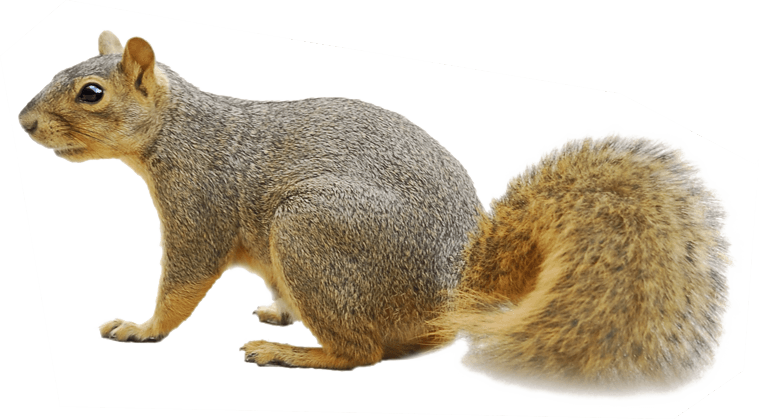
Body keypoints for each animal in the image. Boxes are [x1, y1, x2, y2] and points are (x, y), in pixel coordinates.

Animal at [18, 30, 740, 405]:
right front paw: (275, 307)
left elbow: (181, 284)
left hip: (309, 230)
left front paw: (139, 329)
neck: (178, 130)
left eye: (91, 92)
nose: (25, 122)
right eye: (64, 67)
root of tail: (458, 291)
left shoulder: (202, 204)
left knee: (359, 353)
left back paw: (288, 354)